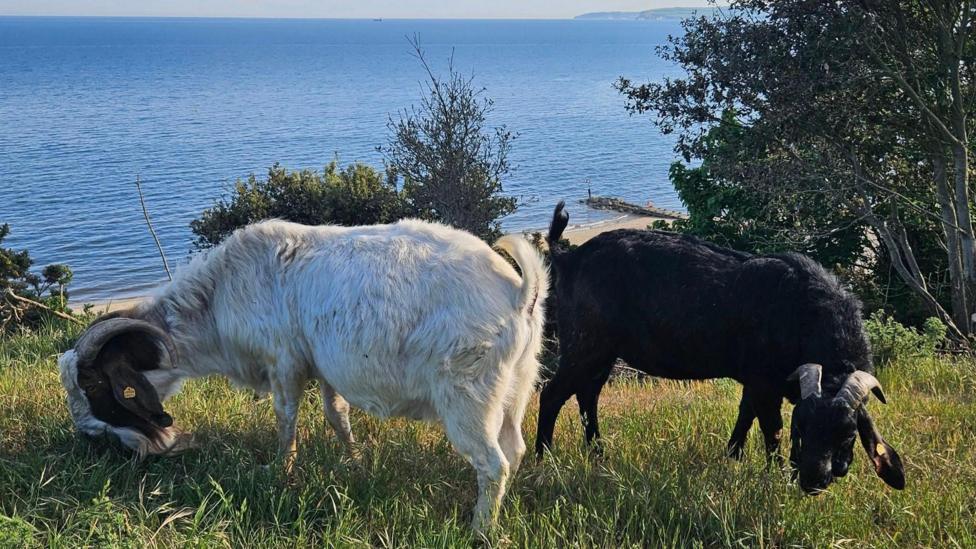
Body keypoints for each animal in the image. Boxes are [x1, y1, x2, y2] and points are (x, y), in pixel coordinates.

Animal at [58, 219, 548, 530]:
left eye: (96, 386)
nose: (89, 438)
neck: (218, 296)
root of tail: (518, 292)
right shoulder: (323, 363)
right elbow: (336, 413)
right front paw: (354, 462)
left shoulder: (285, 361)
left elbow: (286, 417)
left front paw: (281, 471)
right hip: (516, 387)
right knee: (515, 449)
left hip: (468, 398)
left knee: (492, 463)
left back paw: (480, 531)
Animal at [536, 201, 905, 493]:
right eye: (801, 427)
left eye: (847, 435)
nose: (813, 481)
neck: (805, 312)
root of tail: (569, 257)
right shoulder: (764, 383)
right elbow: (771, 430)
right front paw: (774, 474)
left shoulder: (756, 382)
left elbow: (745, 416)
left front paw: (733, 458)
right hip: (585, 345)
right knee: (553, 395)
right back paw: (543, 460)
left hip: (602, 352)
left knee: (588, 396)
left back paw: (598, 455)